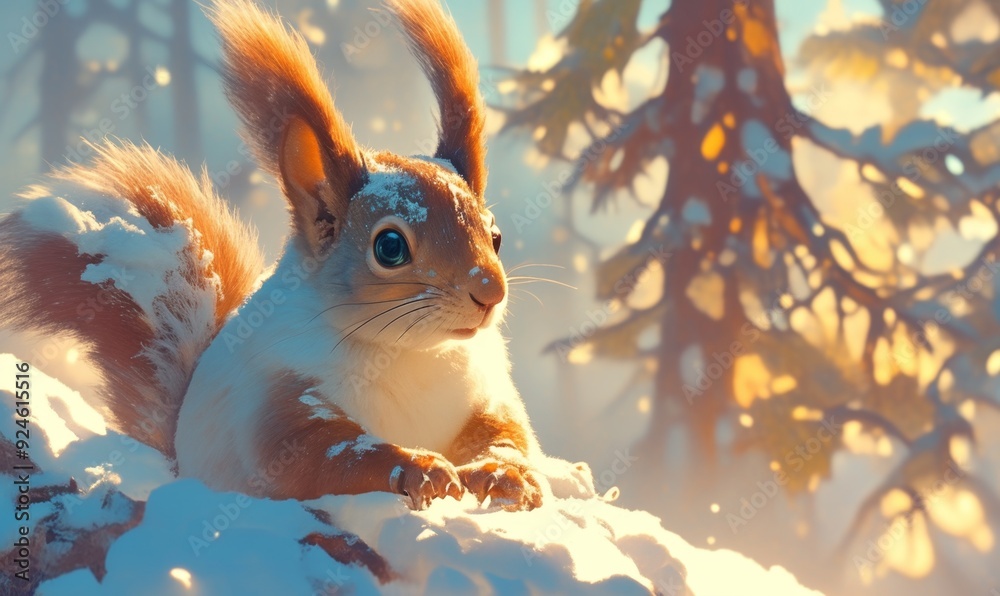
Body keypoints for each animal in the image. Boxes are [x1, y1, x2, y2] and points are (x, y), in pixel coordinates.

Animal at [0, 0, 557, 511]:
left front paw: (505, 475)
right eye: (390, 246)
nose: (489, 292)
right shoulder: (283, 399)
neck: (416, 354)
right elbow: (323, 454)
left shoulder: (486, 394)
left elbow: (505, 435)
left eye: (496, 235)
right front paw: (417, 468)